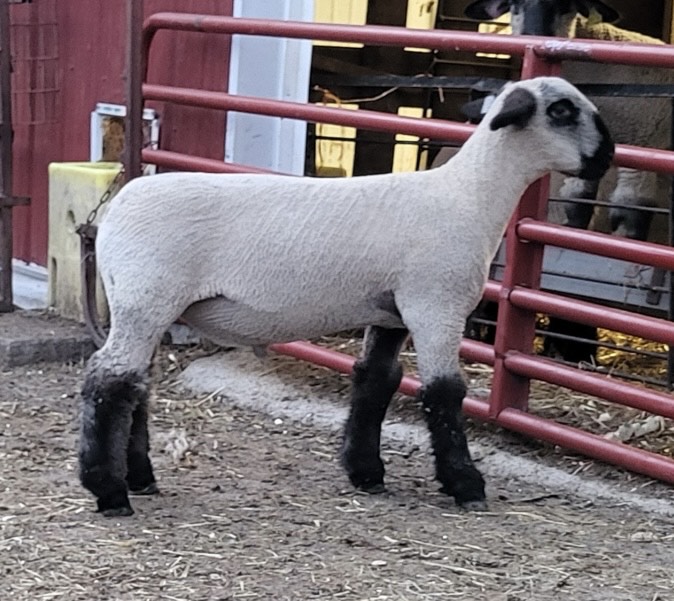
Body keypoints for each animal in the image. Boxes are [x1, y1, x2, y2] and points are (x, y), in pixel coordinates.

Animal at [78, 77, 614, 517]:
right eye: (562, 111)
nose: (607, 156)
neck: (470, 196)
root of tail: (114, 213)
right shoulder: (434, 304)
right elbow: (444, 393)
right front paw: (465, 484)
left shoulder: (392, 311)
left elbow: (376, 381)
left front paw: (366, 472)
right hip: (146, 299)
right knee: (110, 383)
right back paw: (110, 491)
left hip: (144, 304)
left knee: (135, 384)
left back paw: (139, 478)